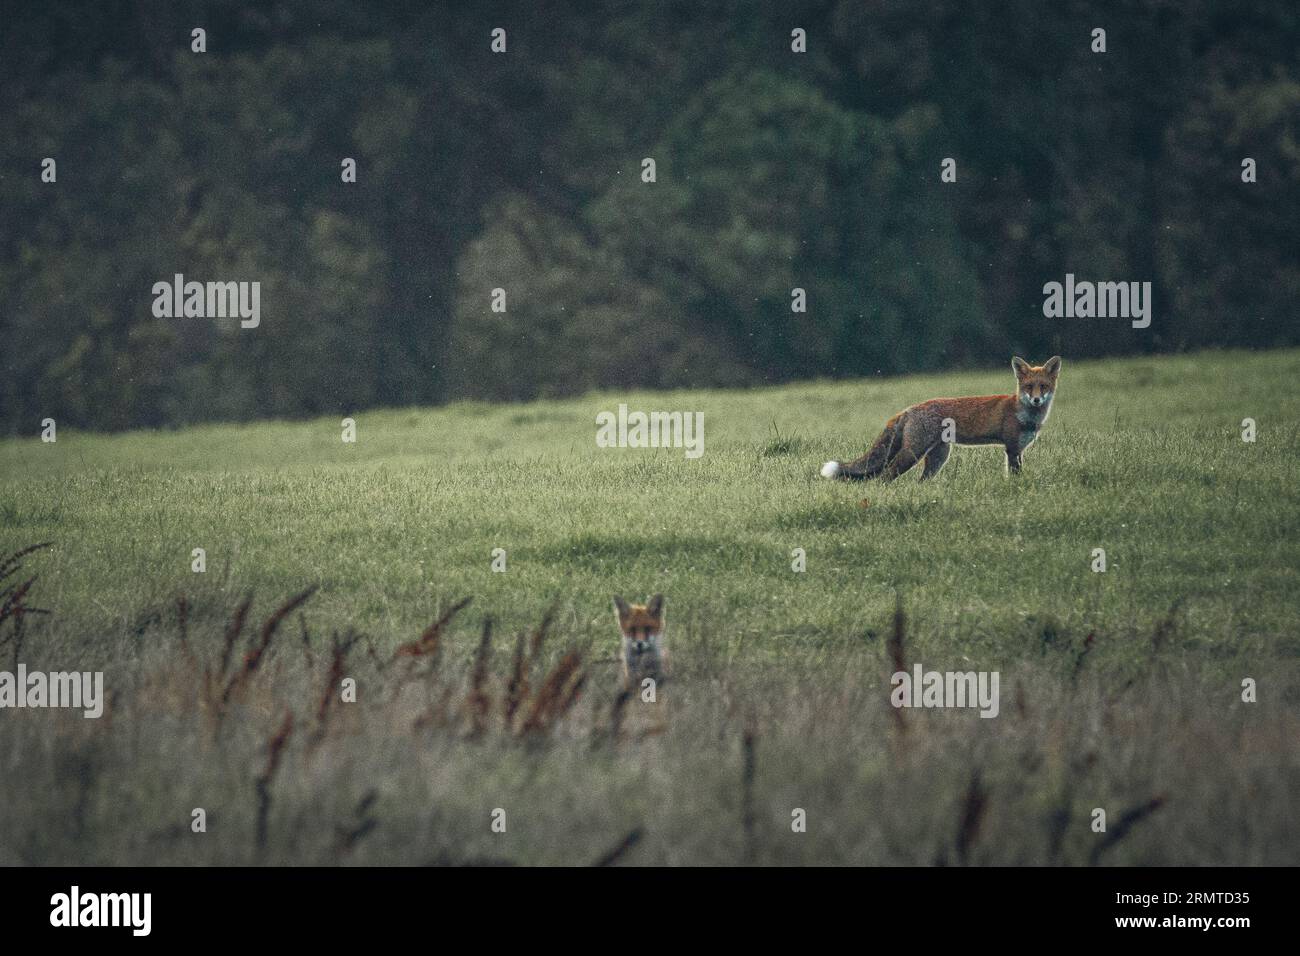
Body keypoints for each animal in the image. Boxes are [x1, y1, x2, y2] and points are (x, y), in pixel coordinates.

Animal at [820, 356, 1062, 481]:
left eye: (1043, 386)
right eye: (1029, 387)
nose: (1037, 400)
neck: (1024, 413)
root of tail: (909, 409)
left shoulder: (1018, 449)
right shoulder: (1012, 448)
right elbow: (1015, 475)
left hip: (938, 457)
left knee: (920, 481)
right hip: (912, 454)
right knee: (885, 476)